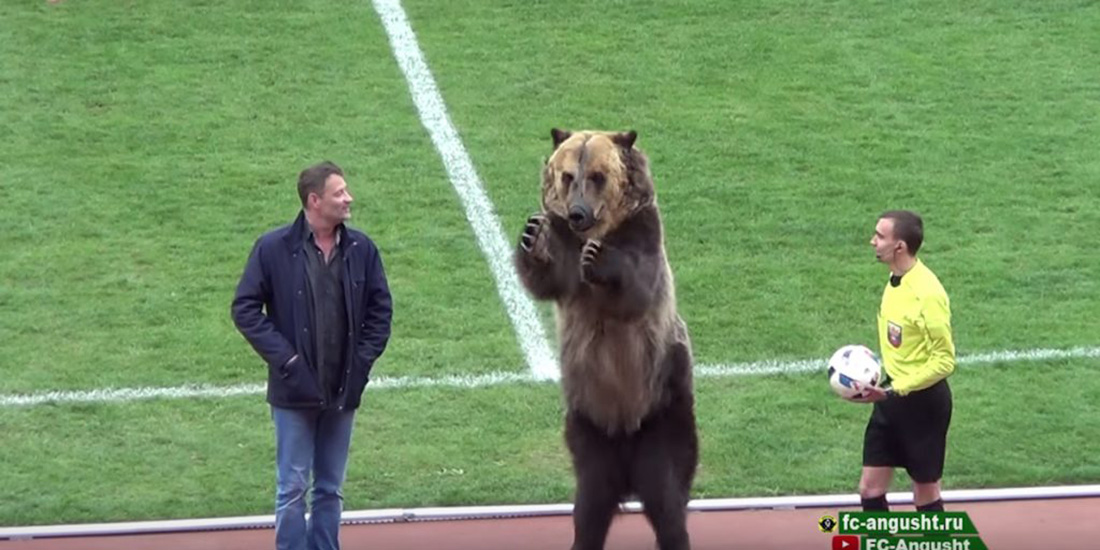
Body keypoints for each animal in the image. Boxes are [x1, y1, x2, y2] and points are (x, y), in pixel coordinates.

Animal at [514, 128, 698, 550]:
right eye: (568, 175)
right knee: (590, 503)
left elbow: (635, 291)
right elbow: (545, 279)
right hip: (587, 423)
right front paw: (532, 238)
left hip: (664, 409)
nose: (578, 213)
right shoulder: (566, 262)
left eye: (598, 175)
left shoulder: (643, 237)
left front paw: (600, 260)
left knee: (666, 496)